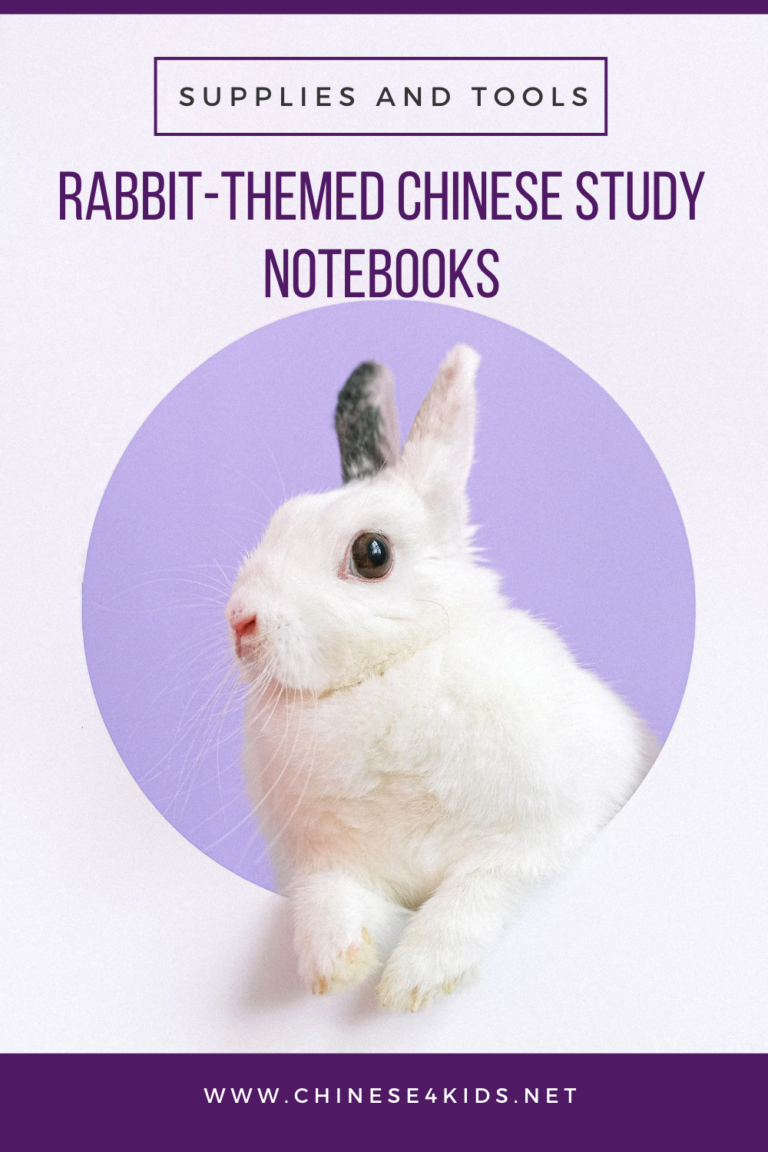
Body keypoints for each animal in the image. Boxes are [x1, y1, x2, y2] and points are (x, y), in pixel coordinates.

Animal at [226, 345, 659, 1012]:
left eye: (372, 554)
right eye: (280, 523)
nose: (239, 619)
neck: (388, 674)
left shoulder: (543, 837)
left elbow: (475, 893)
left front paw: (415, 980)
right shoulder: (322, 861)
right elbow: (328, 897)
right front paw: (334, 966)